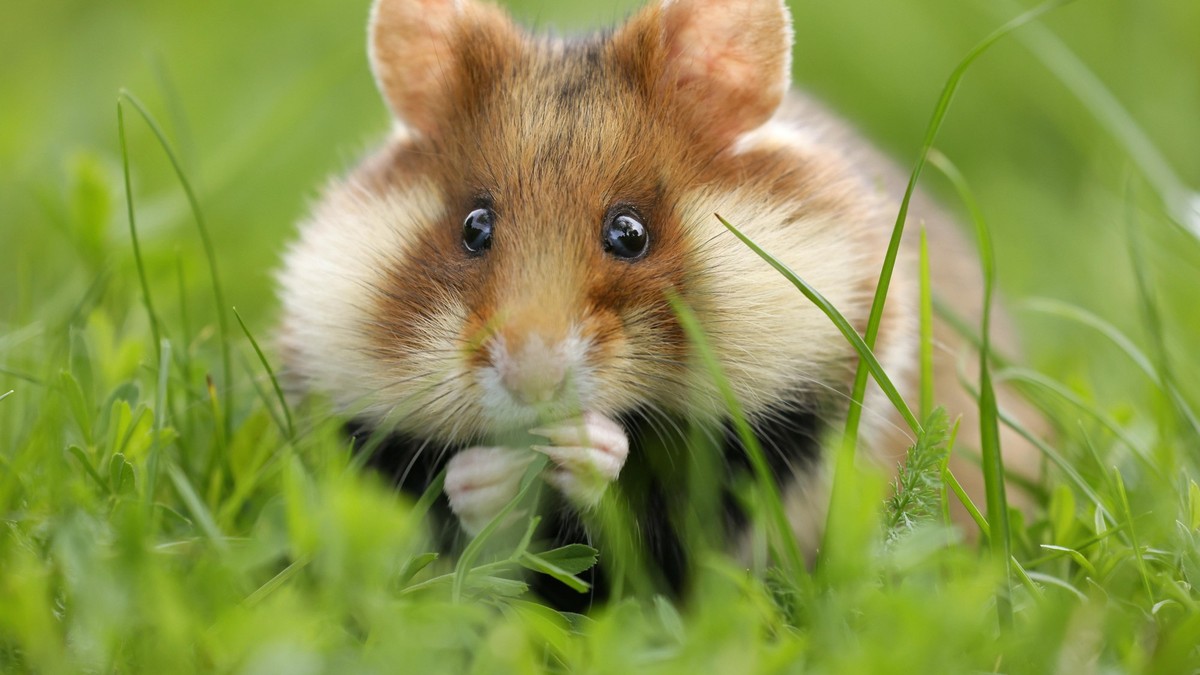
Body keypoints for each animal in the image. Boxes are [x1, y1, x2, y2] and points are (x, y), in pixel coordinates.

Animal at [276, 0, 1042, 608]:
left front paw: (585, 446)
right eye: (474, 227)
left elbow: (662, 497)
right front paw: (486, 473)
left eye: (629, 232)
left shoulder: (785, 434)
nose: (534, 382)